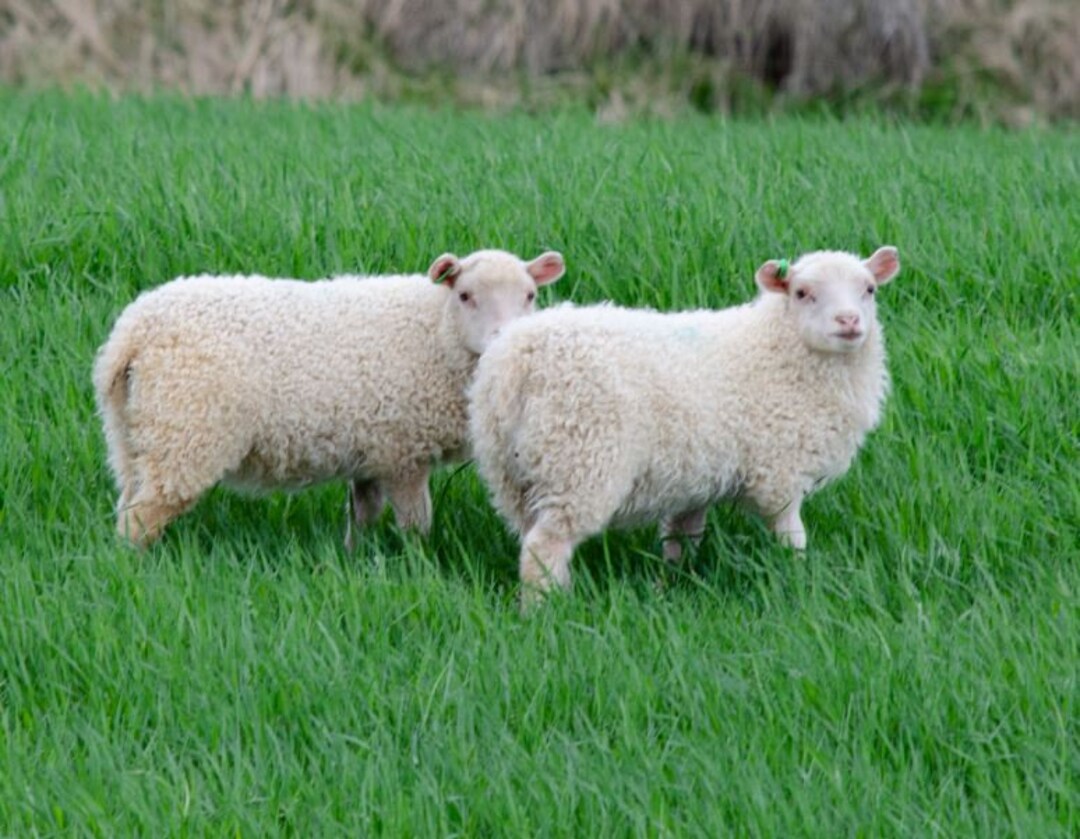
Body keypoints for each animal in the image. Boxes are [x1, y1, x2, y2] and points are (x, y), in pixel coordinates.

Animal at [93, 248, 565, 547]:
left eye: (530, 295)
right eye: (465, 295)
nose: (503, 338)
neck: (435, 329)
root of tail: (133, 331)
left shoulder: (373, 450)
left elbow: (363, 515)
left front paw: (356, 556)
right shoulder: (403, 452)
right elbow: (417, 523)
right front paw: (419, 563)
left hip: (134, 432)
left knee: (127, 500)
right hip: (185, 433)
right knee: (141, 517)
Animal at [468, 246, 900, 601]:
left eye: (869, 290)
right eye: (802, 293)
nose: (849, 320)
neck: (779, 350)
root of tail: (516, 362)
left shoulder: (694, 482)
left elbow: (682, 536)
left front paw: (673, 582)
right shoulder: (779, 472)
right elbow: (792, 534)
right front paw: (799, 577)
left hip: (512, 472)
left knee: (528, 538)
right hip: (579, 463)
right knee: (545, 545)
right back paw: (547, 609)